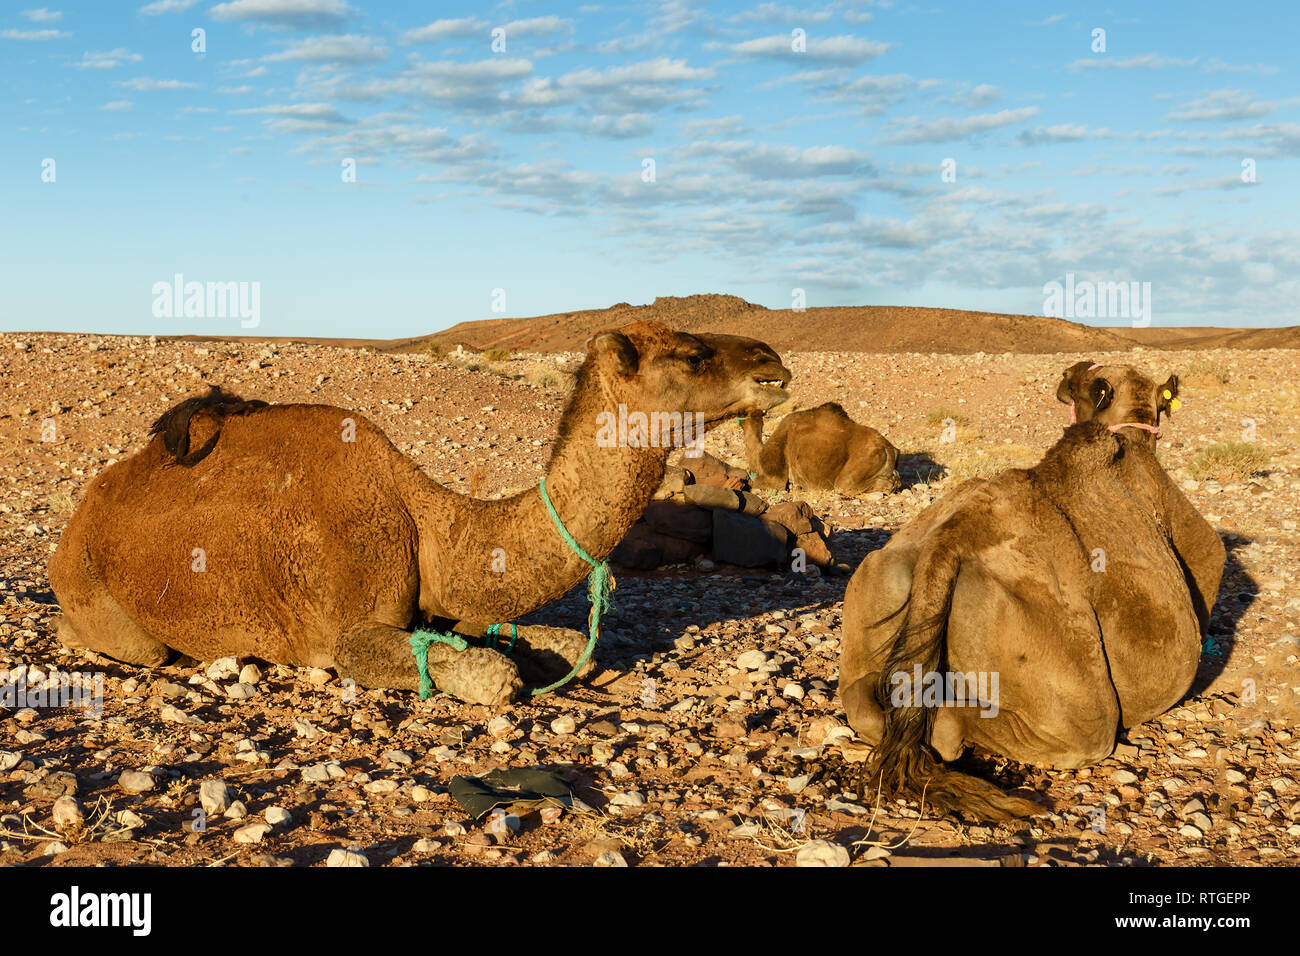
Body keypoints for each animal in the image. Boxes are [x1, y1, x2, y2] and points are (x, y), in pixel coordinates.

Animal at [48, 322, 793, 705]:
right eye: (692, 354)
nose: (774, 362)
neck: (432, 527)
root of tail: (78, 519)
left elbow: (555, 645)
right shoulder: (341, 632)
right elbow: (492, 674)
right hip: (98, 597)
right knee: (124, 642)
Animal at [840, 363, 1224, 820]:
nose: (1067, 374)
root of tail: (947, 544)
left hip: (880, 574)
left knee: (865, 698)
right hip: (1042, 646)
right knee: (1079, 731)